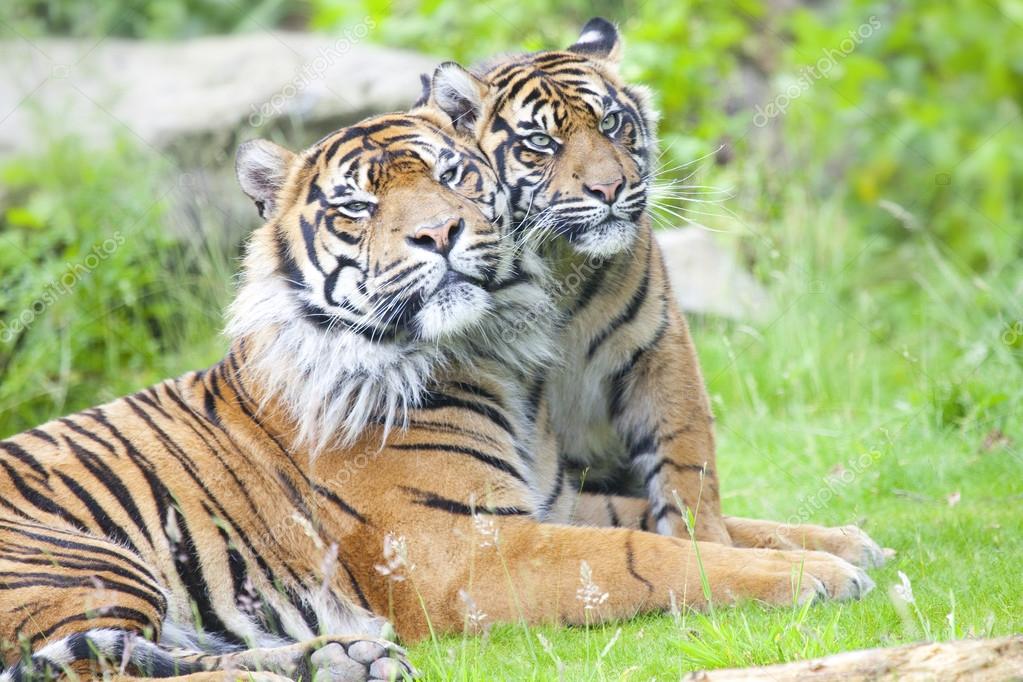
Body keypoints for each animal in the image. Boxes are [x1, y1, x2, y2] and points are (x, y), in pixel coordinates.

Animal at [0, 106, 875, 679]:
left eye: (452, 175)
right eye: (357, 206)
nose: (439, 234)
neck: (495, 357)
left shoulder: (544, 503)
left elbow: (687, 521)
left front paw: (841, 540)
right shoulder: (468, 553)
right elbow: (649, 556)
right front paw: (814, 576)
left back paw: (341, 660)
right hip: (88, 563)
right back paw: (338, 662)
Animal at [424, 17, 890, 567]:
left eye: (609, 124)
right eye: (540, 141)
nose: (609, 189)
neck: (559, 264)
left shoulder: (658, 347)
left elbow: (687, 465)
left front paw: (707, 547)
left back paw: (852, 543)